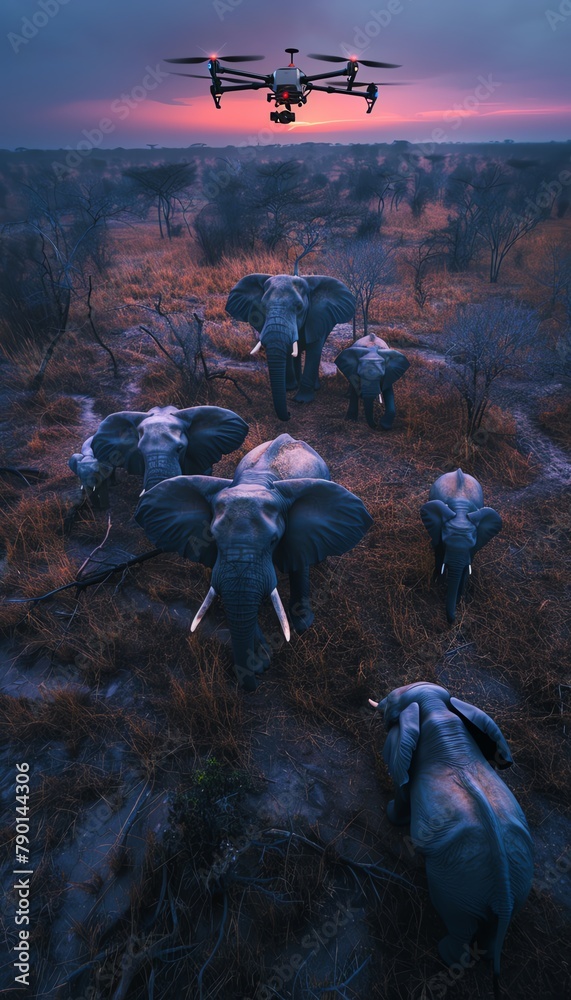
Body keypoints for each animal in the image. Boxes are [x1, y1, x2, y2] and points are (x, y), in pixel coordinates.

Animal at [135, 433, 372, 690]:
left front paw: (302, 625)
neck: (255, 483)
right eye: (213, 538)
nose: (251, 686)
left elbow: (299, 566)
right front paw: (260, 662)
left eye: (274, 540)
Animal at [225, 273, 355, 421]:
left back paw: (314, 387)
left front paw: (302, 400)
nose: (288, 414)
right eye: (262, 306)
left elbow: (314, 350)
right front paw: (289, 388)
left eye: (299, 307)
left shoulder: (318, 317)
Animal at [369, 682, 533, 992]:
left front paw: (390, 815)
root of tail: (504, 896)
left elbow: (401, 789)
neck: (435, 710)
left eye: (393, 703)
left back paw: (445, 956)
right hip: (517, 888)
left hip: (456, 890)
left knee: (459, 925)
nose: (378, 702)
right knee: (493, 931)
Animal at [421, 469, 502, 624]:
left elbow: (466, 565)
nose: (454, 619)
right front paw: (438, 583)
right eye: (446, 542)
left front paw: (459, 597)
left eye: (471, 545)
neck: (461, 512)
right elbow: (438, 551)